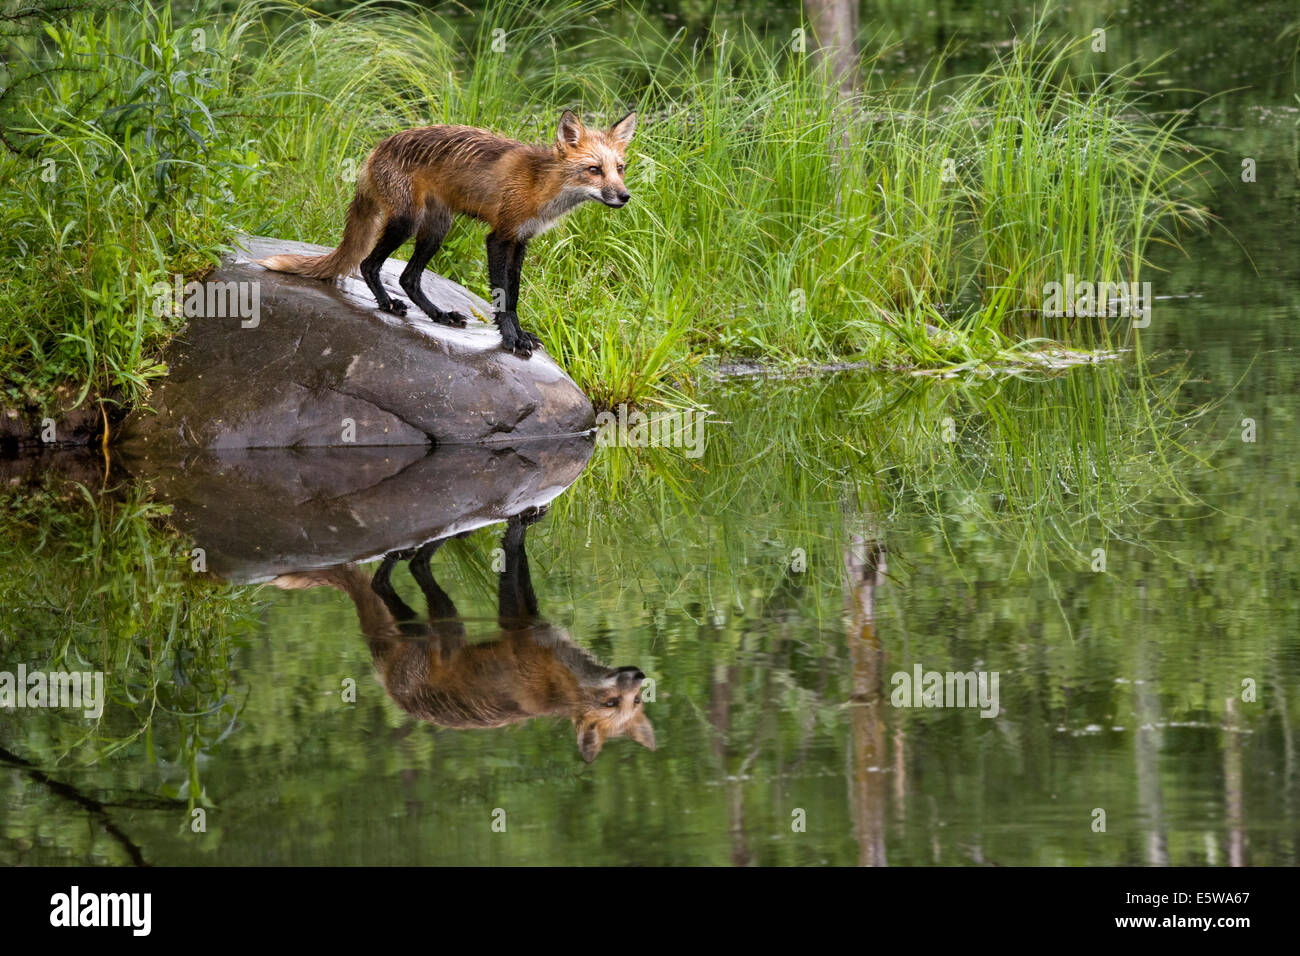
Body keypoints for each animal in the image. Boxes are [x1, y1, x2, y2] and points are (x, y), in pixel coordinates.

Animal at [256, 109, 637, 359]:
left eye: (619, 169)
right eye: (593, 170)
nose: (624, 196)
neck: (539, 186)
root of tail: (377, 148)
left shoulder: (520, 241)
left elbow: (513, 296)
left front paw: (520, 334)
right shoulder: (499, 236)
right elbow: (502, 298)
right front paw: (511, 340)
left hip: (437, 230)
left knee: (409, 278)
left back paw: (438, 314)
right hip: (406, 223)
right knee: (367, 264)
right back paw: (387, 303)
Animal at [273, 509, 654, 762]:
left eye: (635, 701)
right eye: (610, 703)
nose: (639, 675)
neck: (557, 677)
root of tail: (391, 690)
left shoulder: (529, 620)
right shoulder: (518, 628)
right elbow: (513, 550)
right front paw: (519, 521)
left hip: (441, 622)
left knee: (410, 568)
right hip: (444, 631)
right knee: (395, 574)